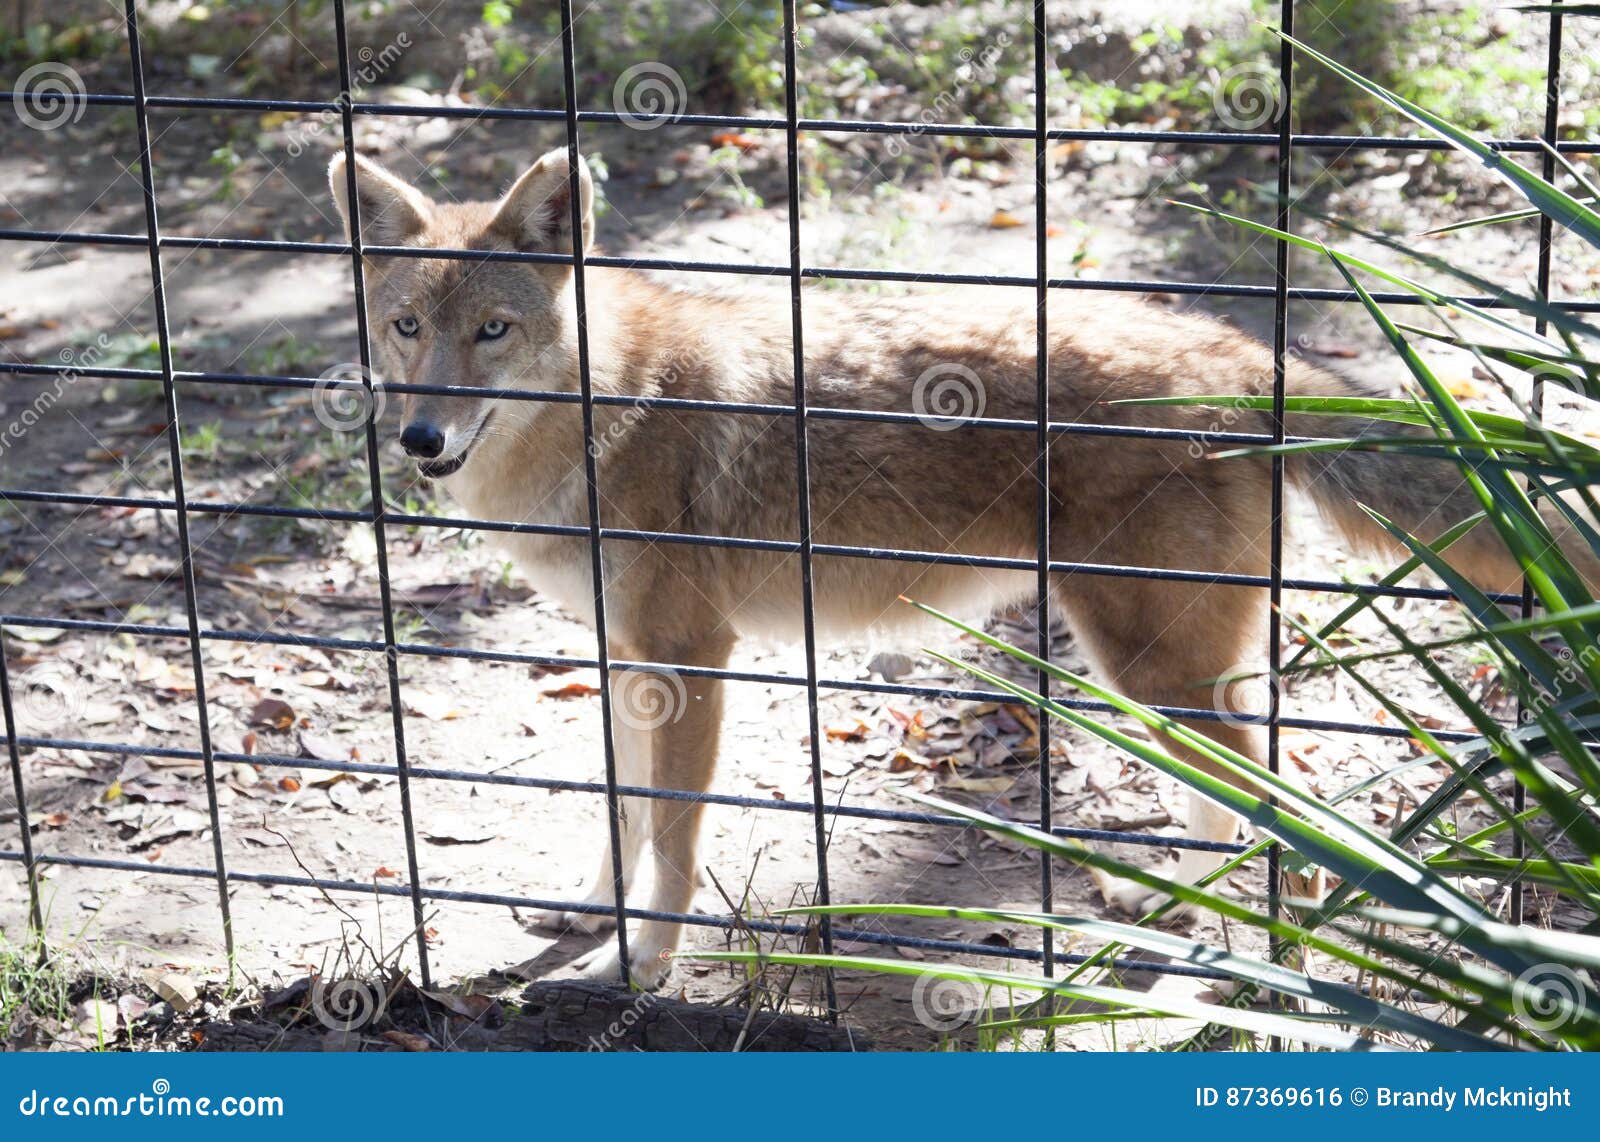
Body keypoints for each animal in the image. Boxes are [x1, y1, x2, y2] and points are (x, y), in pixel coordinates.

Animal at [329, 147, 1588, 988]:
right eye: (406, 326)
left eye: (492, 332)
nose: (420, 438)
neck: (610, 413)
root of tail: (1245, 352)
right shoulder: (623, 657)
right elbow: (617, 813)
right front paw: (590, 914)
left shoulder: (690, 661)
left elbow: (672, 840)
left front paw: (638, 965)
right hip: (1167, 676)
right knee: (1237, 798)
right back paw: (1169, 905)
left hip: (1147, 666)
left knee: (1295, 814)